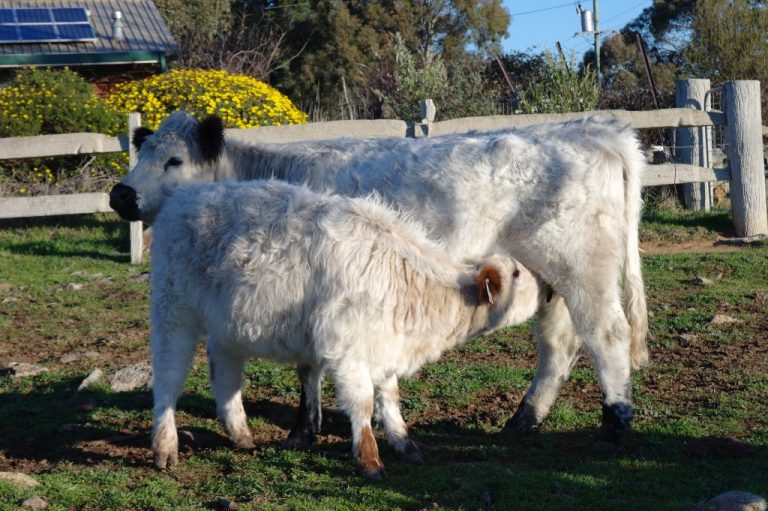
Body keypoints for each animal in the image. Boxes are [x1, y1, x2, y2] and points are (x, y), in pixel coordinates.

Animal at [110, 111, 648, 447]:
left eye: (175, 160)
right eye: (141, 155)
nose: (120, 194)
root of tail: (593, 129)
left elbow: (308, 365)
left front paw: (303, 430)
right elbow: (309, 364)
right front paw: (308, 426)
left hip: (583, 270)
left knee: (607, 336)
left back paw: (615, 424)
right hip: (549, 283)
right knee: (559, 347)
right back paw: (522, 420)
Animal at [147, 178, 541, 479]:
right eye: (517, 274)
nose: (547, 289)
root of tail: (184, 195)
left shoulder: (384, 349)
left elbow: (390, 399)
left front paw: (404, 443)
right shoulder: (348, 350)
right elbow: (363, 403)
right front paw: (369, 460)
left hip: (227, 325)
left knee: (225, 376)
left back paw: (241, 435)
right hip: (172, 314)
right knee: (168, 378)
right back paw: (165, 447)